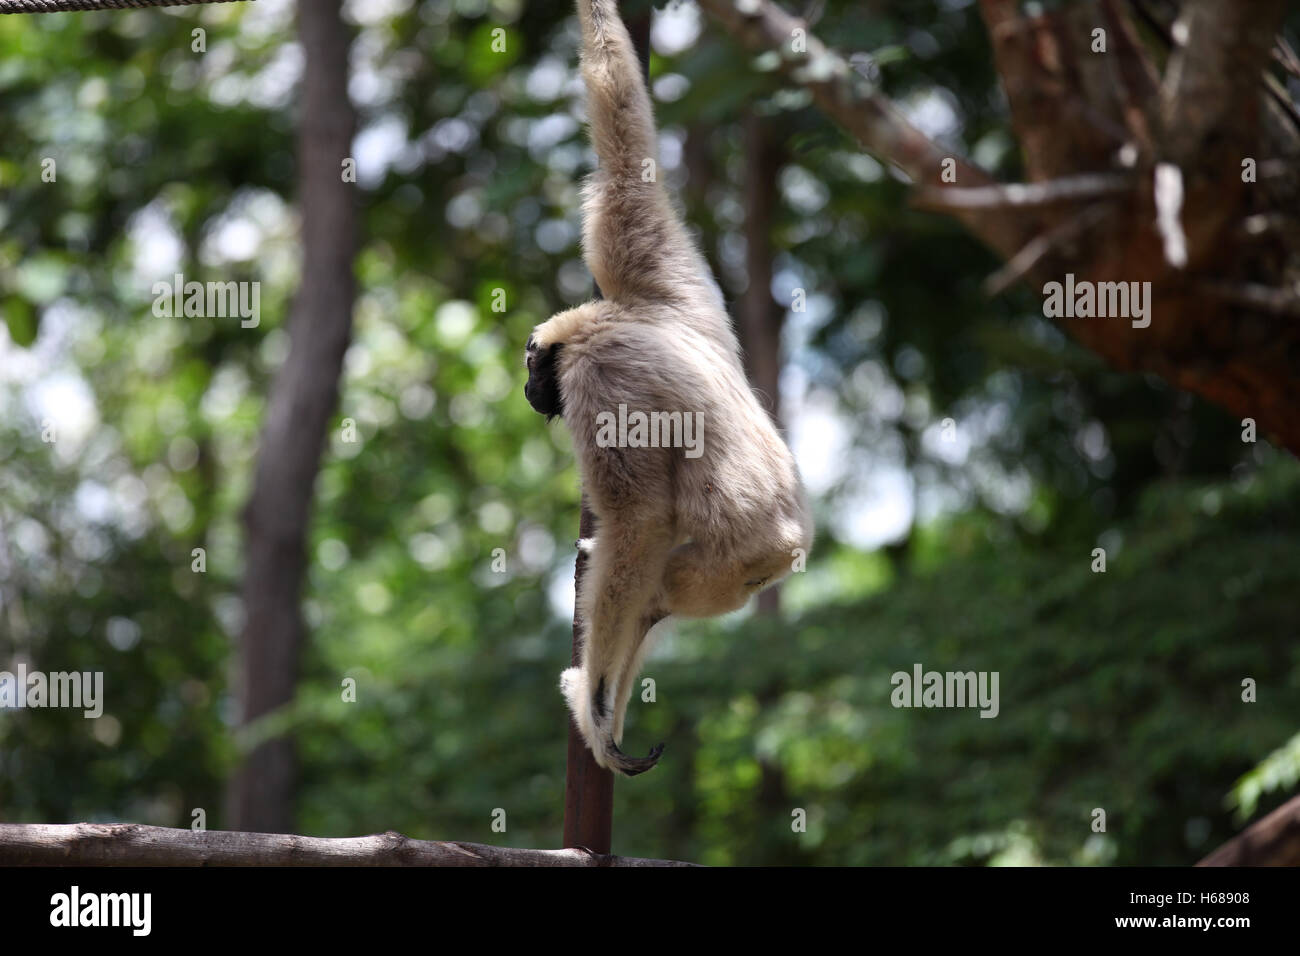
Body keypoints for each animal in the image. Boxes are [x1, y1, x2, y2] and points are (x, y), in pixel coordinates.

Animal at [524, 0, 813, 776]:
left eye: (533, 364)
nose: (529, 386)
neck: (606, 322)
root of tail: (795, 541)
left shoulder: (598, 383)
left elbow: (640, 523)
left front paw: (598, 704)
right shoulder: (657, 282)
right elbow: (629, 162)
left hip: (742, 564)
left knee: (654, 582)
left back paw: (595, 701)